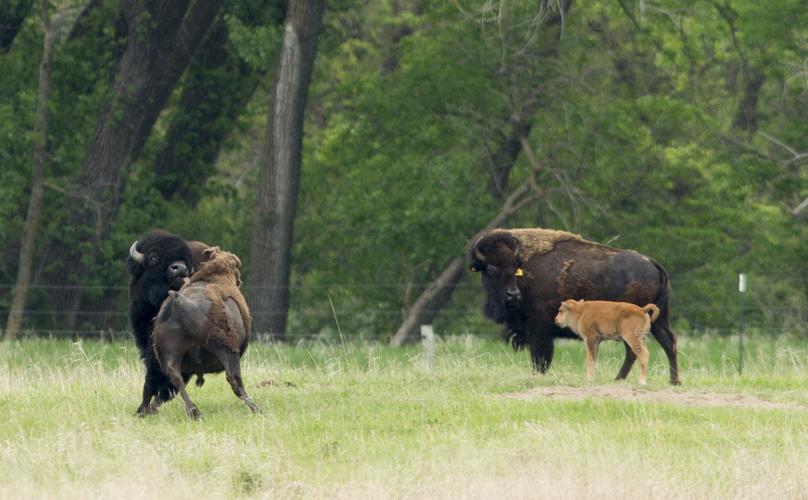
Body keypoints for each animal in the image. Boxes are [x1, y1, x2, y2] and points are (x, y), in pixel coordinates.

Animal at [469, 228, 680, 385]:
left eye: (514, 267)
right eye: (491, 267)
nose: (512, 294)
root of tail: (653, 264)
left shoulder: (539, 330)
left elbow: (540, 358)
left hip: (633, 325)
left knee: (637, 349)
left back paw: (622, 379)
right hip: (658, 318)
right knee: (667, 342)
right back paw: (671, 381)